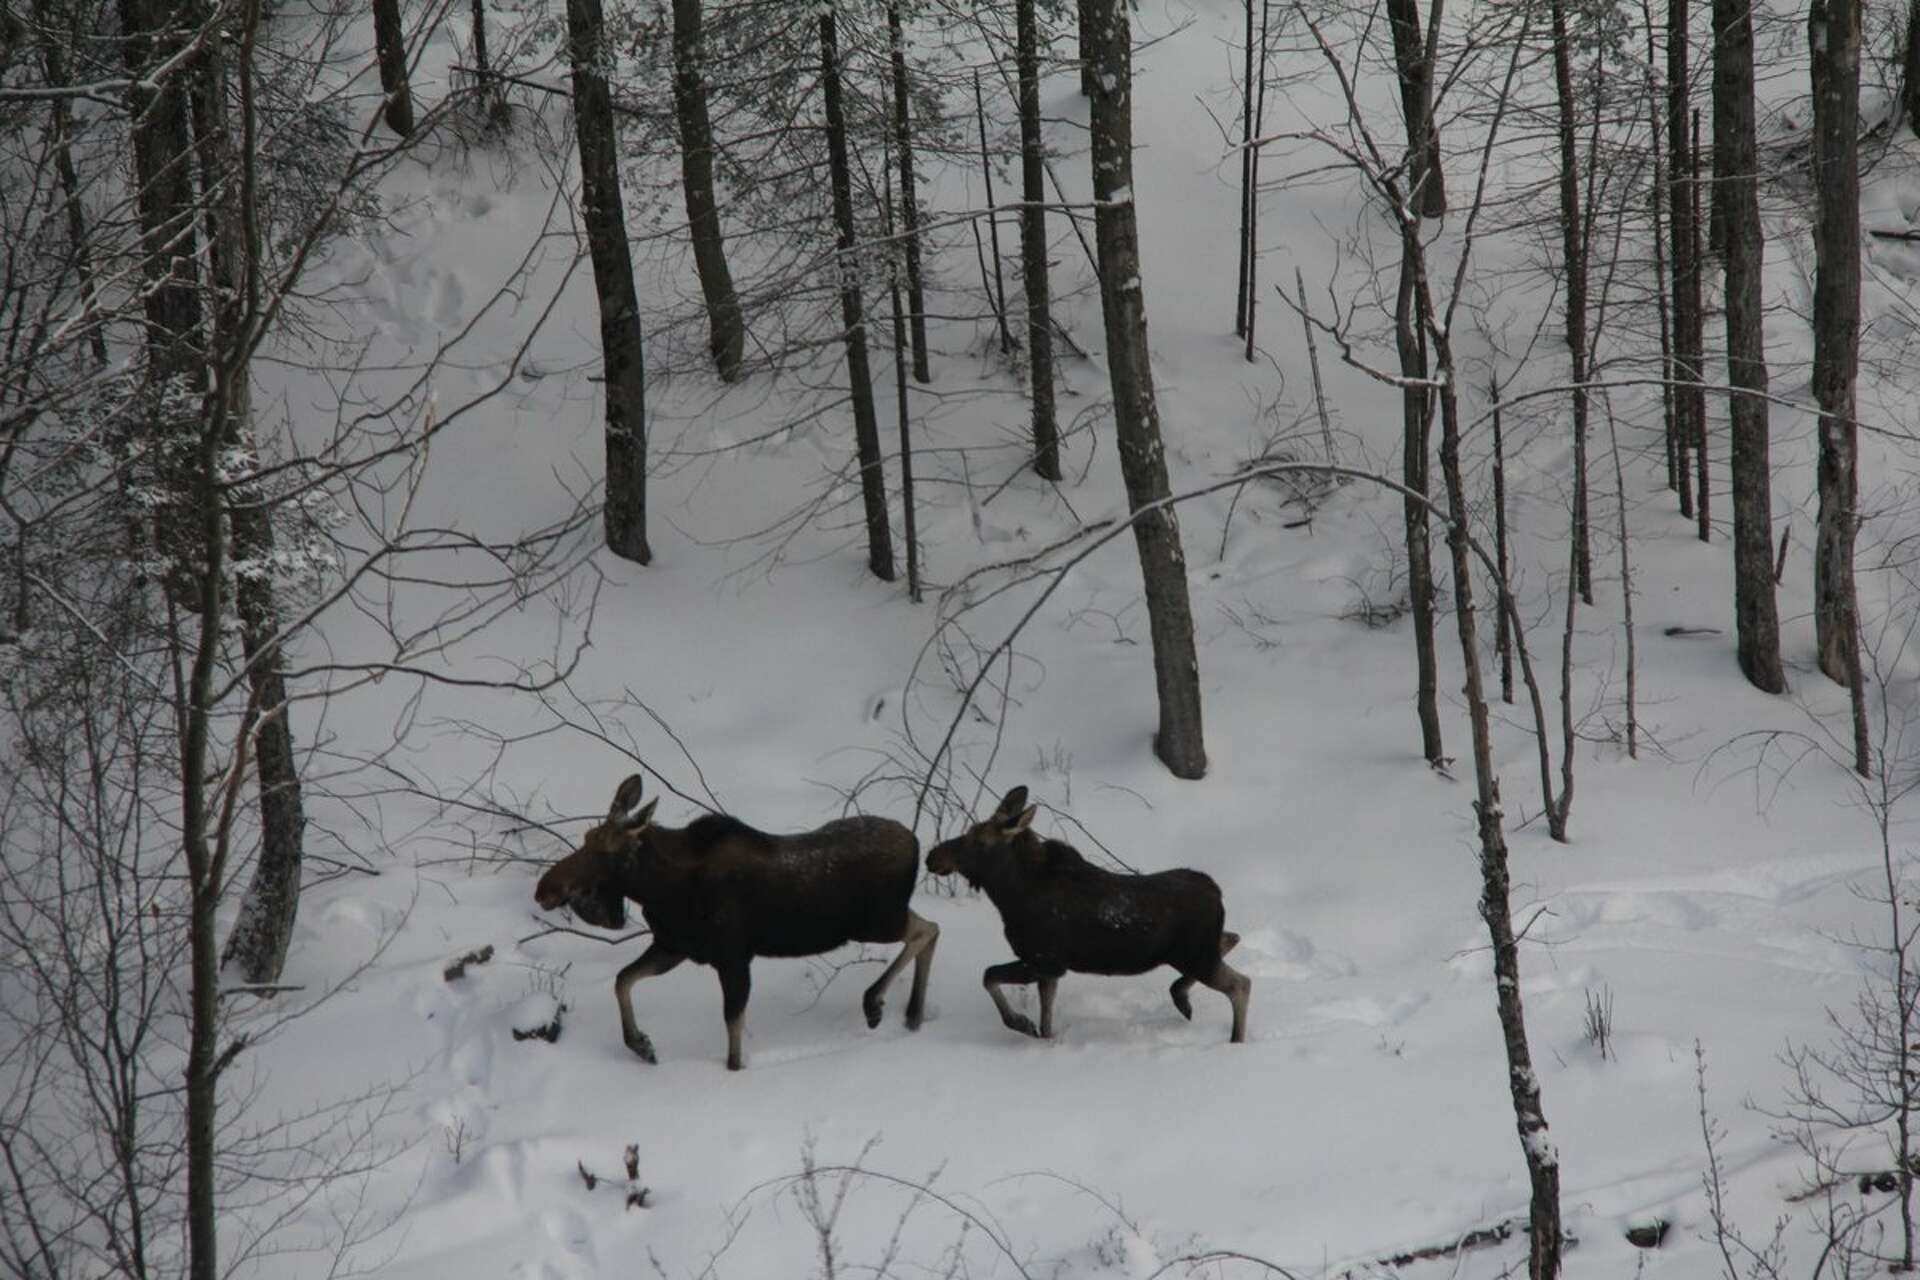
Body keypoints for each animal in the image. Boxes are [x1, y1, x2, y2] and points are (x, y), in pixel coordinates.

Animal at [534, 775, 938, 1070]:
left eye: (608, 852)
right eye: (587, 836)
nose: (545, 888)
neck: (663, 890)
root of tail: (917, 843)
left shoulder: (733, 957)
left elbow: (733, 1029)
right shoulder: (674, 947)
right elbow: (622, 979)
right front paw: (642, 1044)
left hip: (876, 921)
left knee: (927, 929)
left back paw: (876, 1004)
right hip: (880, 919)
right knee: (930, 929)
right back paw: (912, 1016)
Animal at [925, 786, 1249, 1044]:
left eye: (980, 841)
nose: (932, 857)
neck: (1009, 894)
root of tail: (1216, 891)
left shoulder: (1046, 961)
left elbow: (989, 976)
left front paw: (1020, 1022)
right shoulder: (1047, 968)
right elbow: (1046, 1022)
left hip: (1195, 956)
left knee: (1240, 984)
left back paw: (1234, 1040)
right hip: (1196, 953)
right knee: (1232, 938)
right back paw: (1182, 997)